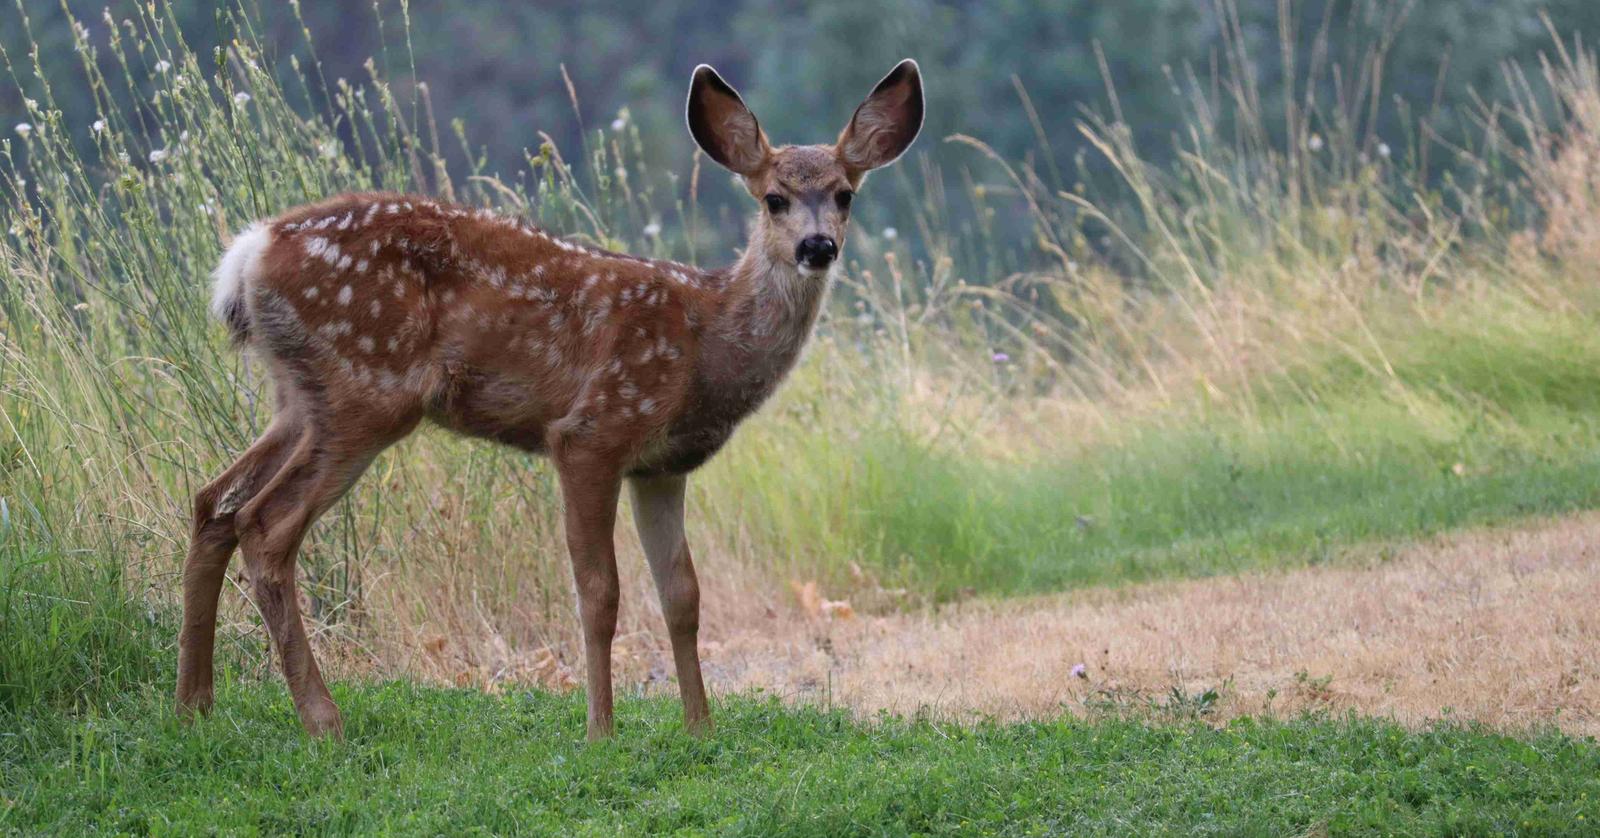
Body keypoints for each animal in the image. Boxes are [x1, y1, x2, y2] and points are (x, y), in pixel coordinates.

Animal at [177, 60, 924, 739]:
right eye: (773, 198)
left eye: (845, 194)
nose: (817, 246)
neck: (705, 341)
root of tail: (247, 255)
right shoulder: (593, 430)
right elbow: (600, 591)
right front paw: (601, 730)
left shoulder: (660, 465)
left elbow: (682, 594)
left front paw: (700, 729)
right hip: (366, 388)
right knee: (266, 524)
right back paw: (322, 720)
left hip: (299, 397)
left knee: (214, 503)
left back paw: (194, 706)